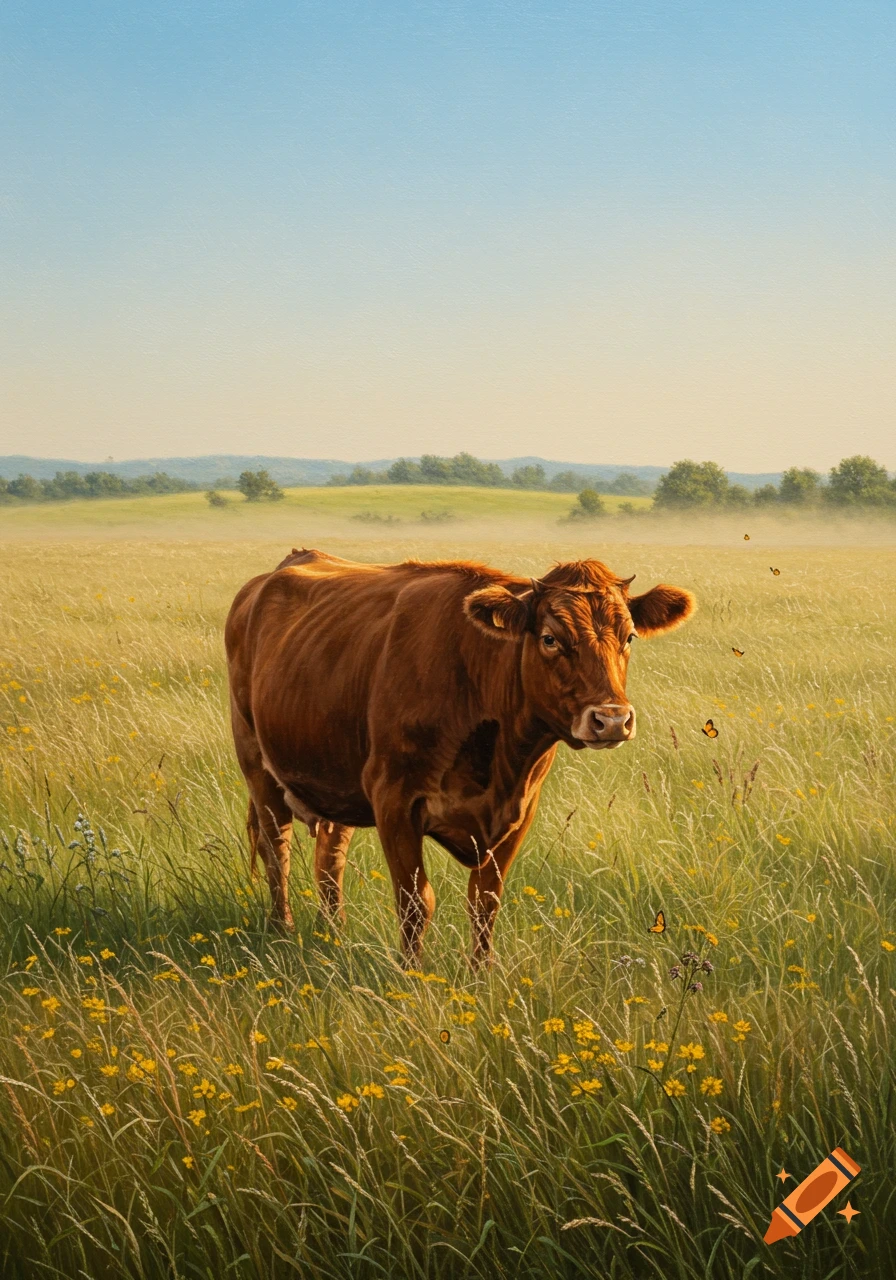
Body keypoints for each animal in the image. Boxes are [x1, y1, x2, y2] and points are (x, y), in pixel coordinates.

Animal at [225, 549, 694, 965]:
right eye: (550, 638)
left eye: (629, 636)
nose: (611, 720)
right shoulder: (393, 799)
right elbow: (416, 903)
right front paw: (411, 980)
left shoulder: (521, 810)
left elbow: (485, 902)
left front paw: (480, 978)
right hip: (257, 764)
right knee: (276, 851)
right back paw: (283, 932)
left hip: (334, 776)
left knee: (330, 857)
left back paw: (332, 932)